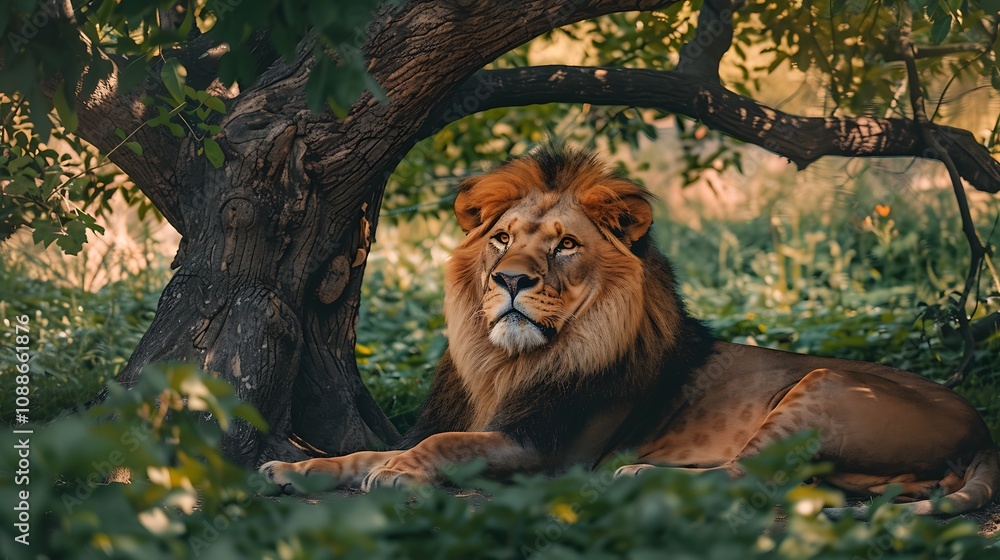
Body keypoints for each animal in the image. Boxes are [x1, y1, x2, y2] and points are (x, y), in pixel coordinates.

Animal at [261, 145, 999, 516]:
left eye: (564, 246)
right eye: (501, 239)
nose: (510, 281)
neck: (508, 363)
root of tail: (984, 428)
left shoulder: (545, 448)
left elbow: (440, 444)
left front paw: (395, 475)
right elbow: (373, 451)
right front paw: (296, 468)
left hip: (822, 386)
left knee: (755, 477)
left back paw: (635, 474)